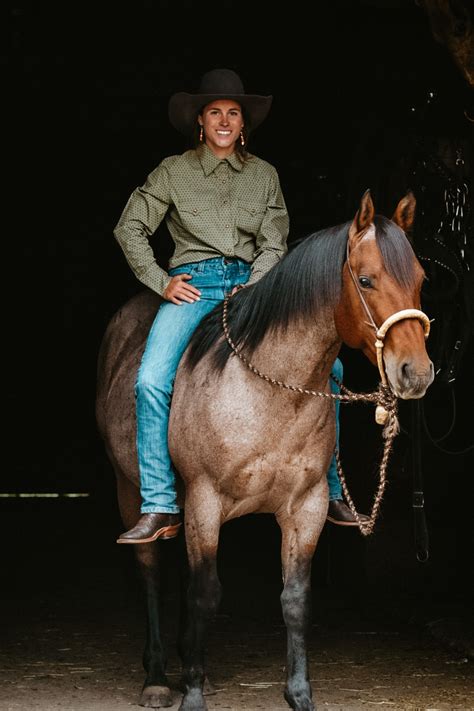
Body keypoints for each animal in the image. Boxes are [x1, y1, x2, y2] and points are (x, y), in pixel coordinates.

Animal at [95, 190, 434, 710]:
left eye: (419, 280)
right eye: (366, 279)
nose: (415, 373)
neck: (268, 389)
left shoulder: (306, 508)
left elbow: (294, 599)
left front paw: (298, 693)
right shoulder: (205, 501)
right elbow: (205, 593)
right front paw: (192, 693)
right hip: (131, 490)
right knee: (151, 572)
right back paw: (157, 677)